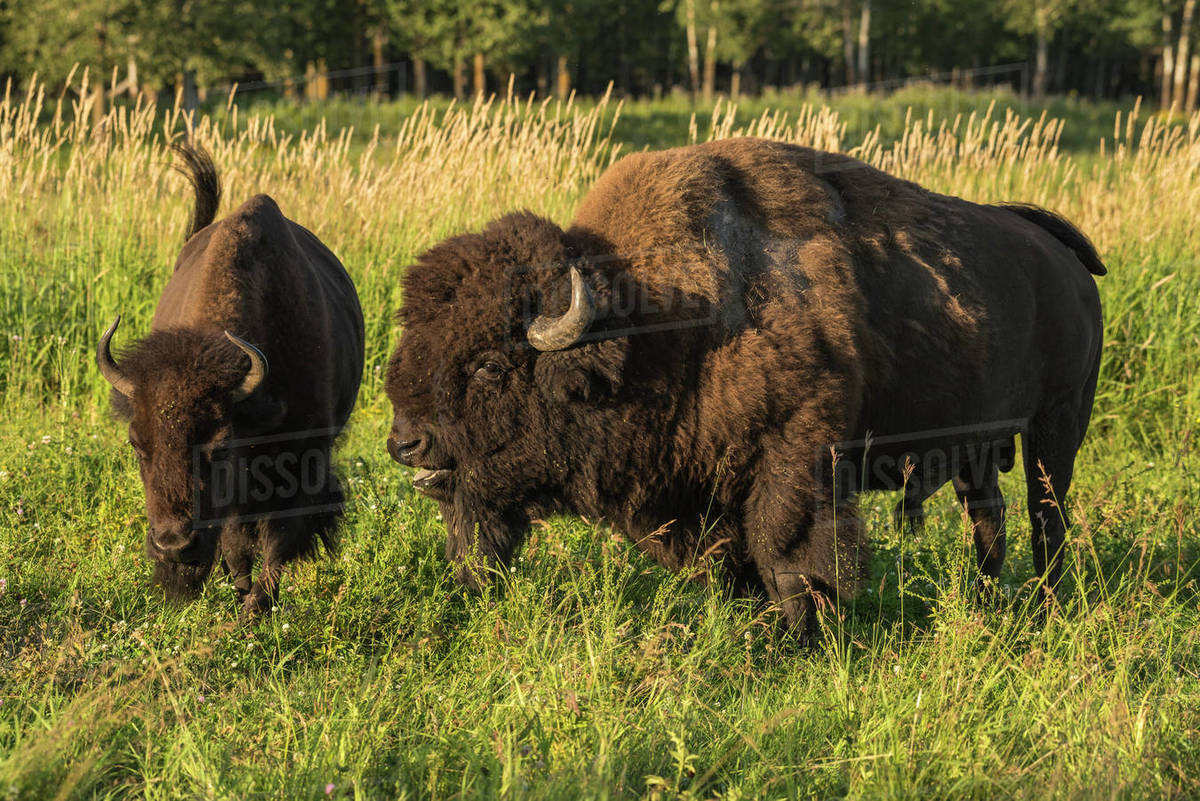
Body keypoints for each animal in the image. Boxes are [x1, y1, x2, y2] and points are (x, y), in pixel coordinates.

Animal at [98, 144, 365, 614]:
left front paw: (254, 608)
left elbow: (277, 539)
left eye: (220, 447)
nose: (173, 547)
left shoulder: (303, 462)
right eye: (135, 443)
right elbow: (237, 542)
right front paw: (243, 595)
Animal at [385, 137, 1104, 636]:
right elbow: (734, 563)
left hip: (1056, 427)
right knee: (990, 517)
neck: (655, 321)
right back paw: (986, 604)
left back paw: (1044, 607)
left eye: (489, 365)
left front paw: (800, 639)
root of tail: (1064, 256)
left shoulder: (796, 462)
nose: (404, 443)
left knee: (1046, 516)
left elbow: (786, 556)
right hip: (977, 446)